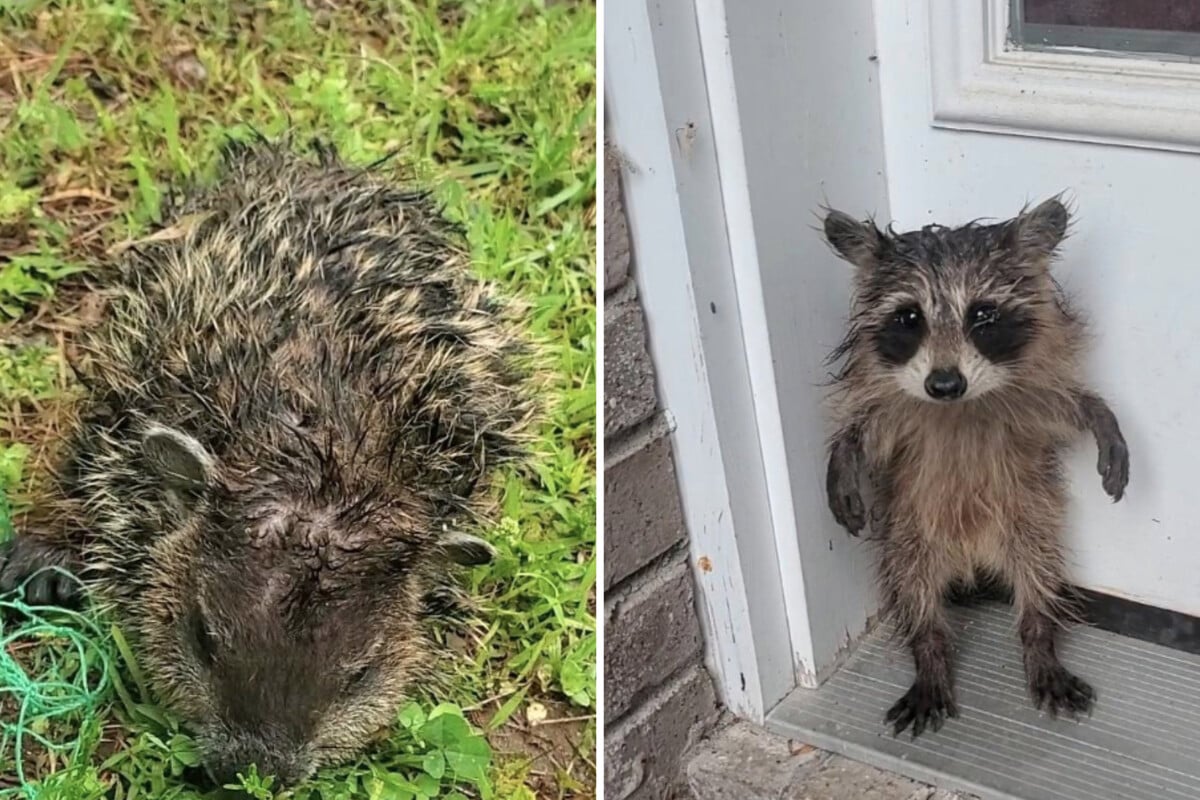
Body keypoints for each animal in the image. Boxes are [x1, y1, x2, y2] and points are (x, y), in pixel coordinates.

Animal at [821, 197, 1128, 738]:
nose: (945, 384)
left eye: (982, 314)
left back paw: (1039, 637)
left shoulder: (1028, 401)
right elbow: (866, 431)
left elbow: (1068, 406)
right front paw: (844, 453)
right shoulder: (896, 411)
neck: (958, 408)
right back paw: (929, 651)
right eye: (909, 317)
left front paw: (1101, 416)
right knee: (912, 585)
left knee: (1039, 572)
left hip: (1027, 515)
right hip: (910, 529)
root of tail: (972, 560)